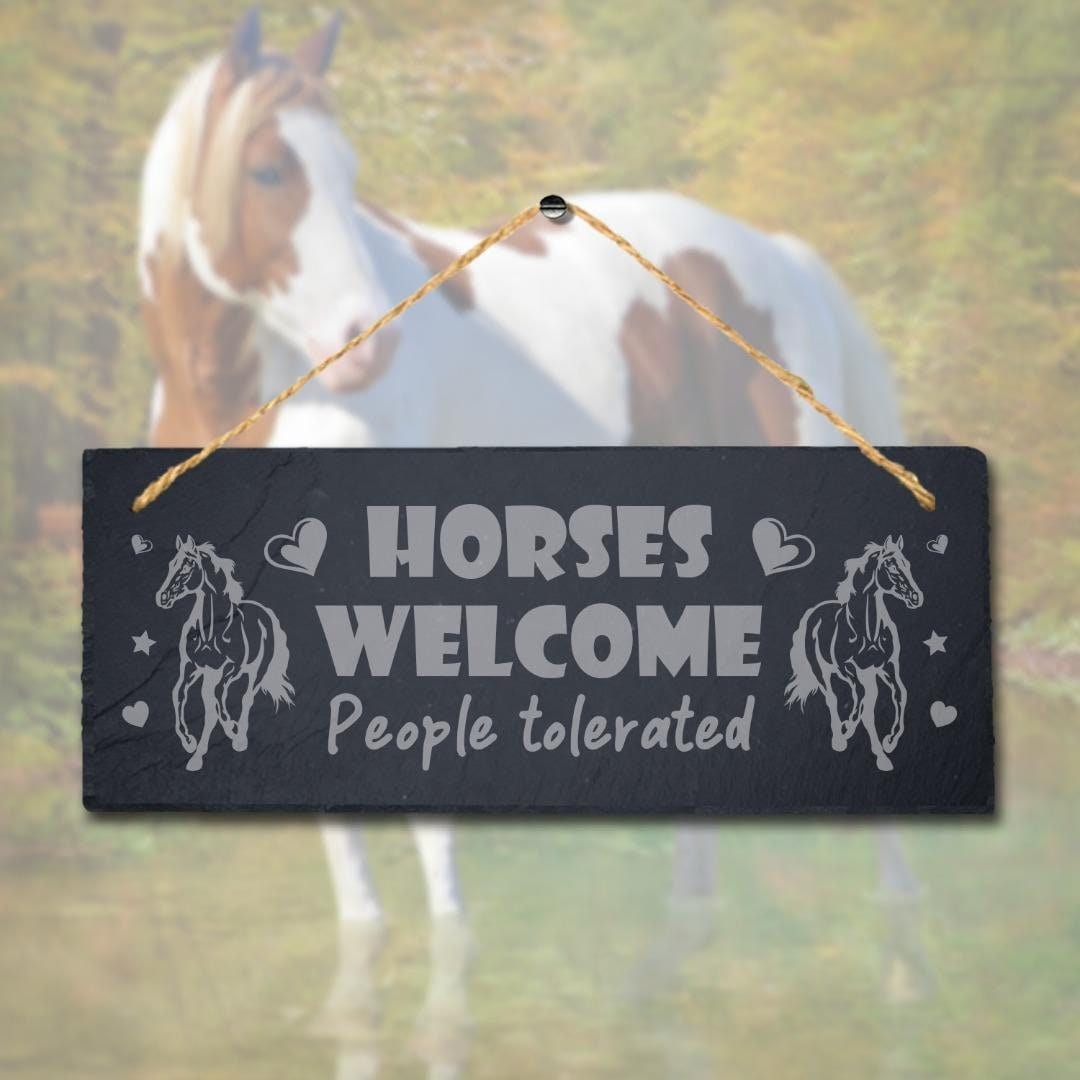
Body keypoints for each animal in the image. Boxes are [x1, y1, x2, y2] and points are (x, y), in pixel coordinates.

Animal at [156, 533, 293, 772]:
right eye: (171, 563)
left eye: (188, 565)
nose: (163, 598)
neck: (211, 631)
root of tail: (266, 613)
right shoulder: (191, 667)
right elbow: (179, 694)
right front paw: (189, 741)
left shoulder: (231, 668)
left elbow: (220, 695)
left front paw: (232, 728)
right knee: (210, 705)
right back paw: (198, 756)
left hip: (256, 671)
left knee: (246, 698)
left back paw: (239, 739)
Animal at [786, 535, 923, 772]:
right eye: (891, 567)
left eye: (908, 564)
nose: (916, 598)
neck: (868, 629)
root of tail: (813, 613)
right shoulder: (847, 667)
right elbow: (859, 696)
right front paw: (847, 727)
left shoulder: (887, 666)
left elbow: (899, 695)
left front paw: (889, 741)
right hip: (822, 672)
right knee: (833, 699)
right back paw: (839, 739)